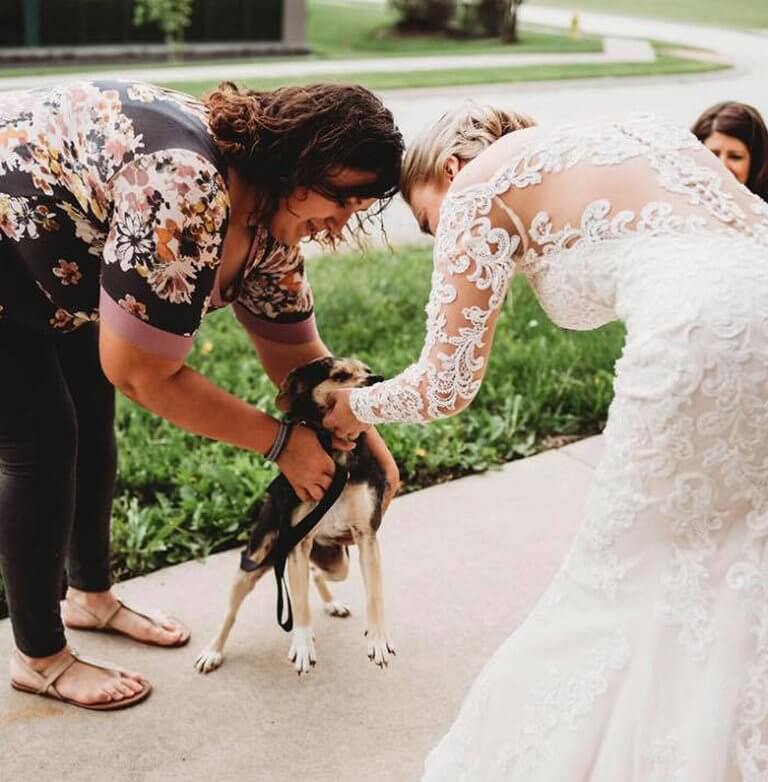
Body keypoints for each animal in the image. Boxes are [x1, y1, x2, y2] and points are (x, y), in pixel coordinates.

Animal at [195, 358, 396, 676]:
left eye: (367, 369)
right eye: (340, 375)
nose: (378, 379)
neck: (336, 453)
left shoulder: (366, 537)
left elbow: (374, 595)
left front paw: (377, 639)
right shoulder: (298, 545)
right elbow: (299, 603)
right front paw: (302, 644)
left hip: (336, 562)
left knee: (316, 574)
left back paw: (332, 604)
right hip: (256, 559)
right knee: (230, 612)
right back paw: (212, 651)